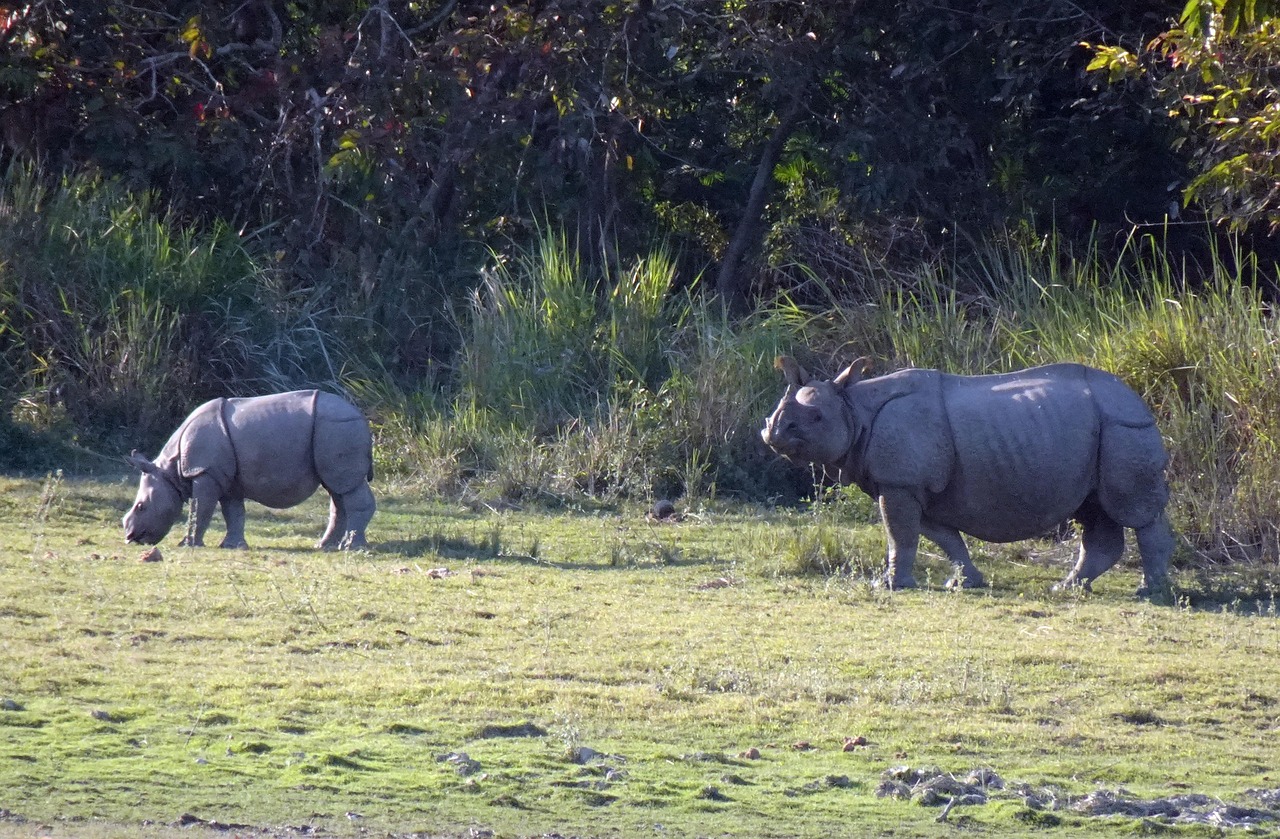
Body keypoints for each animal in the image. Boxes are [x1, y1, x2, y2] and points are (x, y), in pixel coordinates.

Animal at [123, 390, 376, 549]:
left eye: (141, 507)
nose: (130, 537)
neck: (171, 472)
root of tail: (361, 417)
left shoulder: (205, 472)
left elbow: (200, 508)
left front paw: (187, 545)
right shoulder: (225, 479)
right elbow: (233, 512)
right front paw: (232, 546)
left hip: (338, 428)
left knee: (347, 488)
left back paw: (350, 547)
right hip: (335, 430)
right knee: (337, 491)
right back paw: (325, 546)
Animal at [761, 356, 1173, 596]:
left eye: (816, 419)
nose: (773, 434)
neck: (853, 408)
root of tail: (1139, 400)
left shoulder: (901, 482)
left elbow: (901, 533)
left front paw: (890, 585)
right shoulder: (913, 485)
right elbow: (939, 535)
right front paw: (965, 582)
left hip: (1124, 427)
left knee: (1135, 511)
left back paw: (1150, 593)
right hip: (1100, 431)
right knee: (1093, 510)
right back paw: (1067, 588)